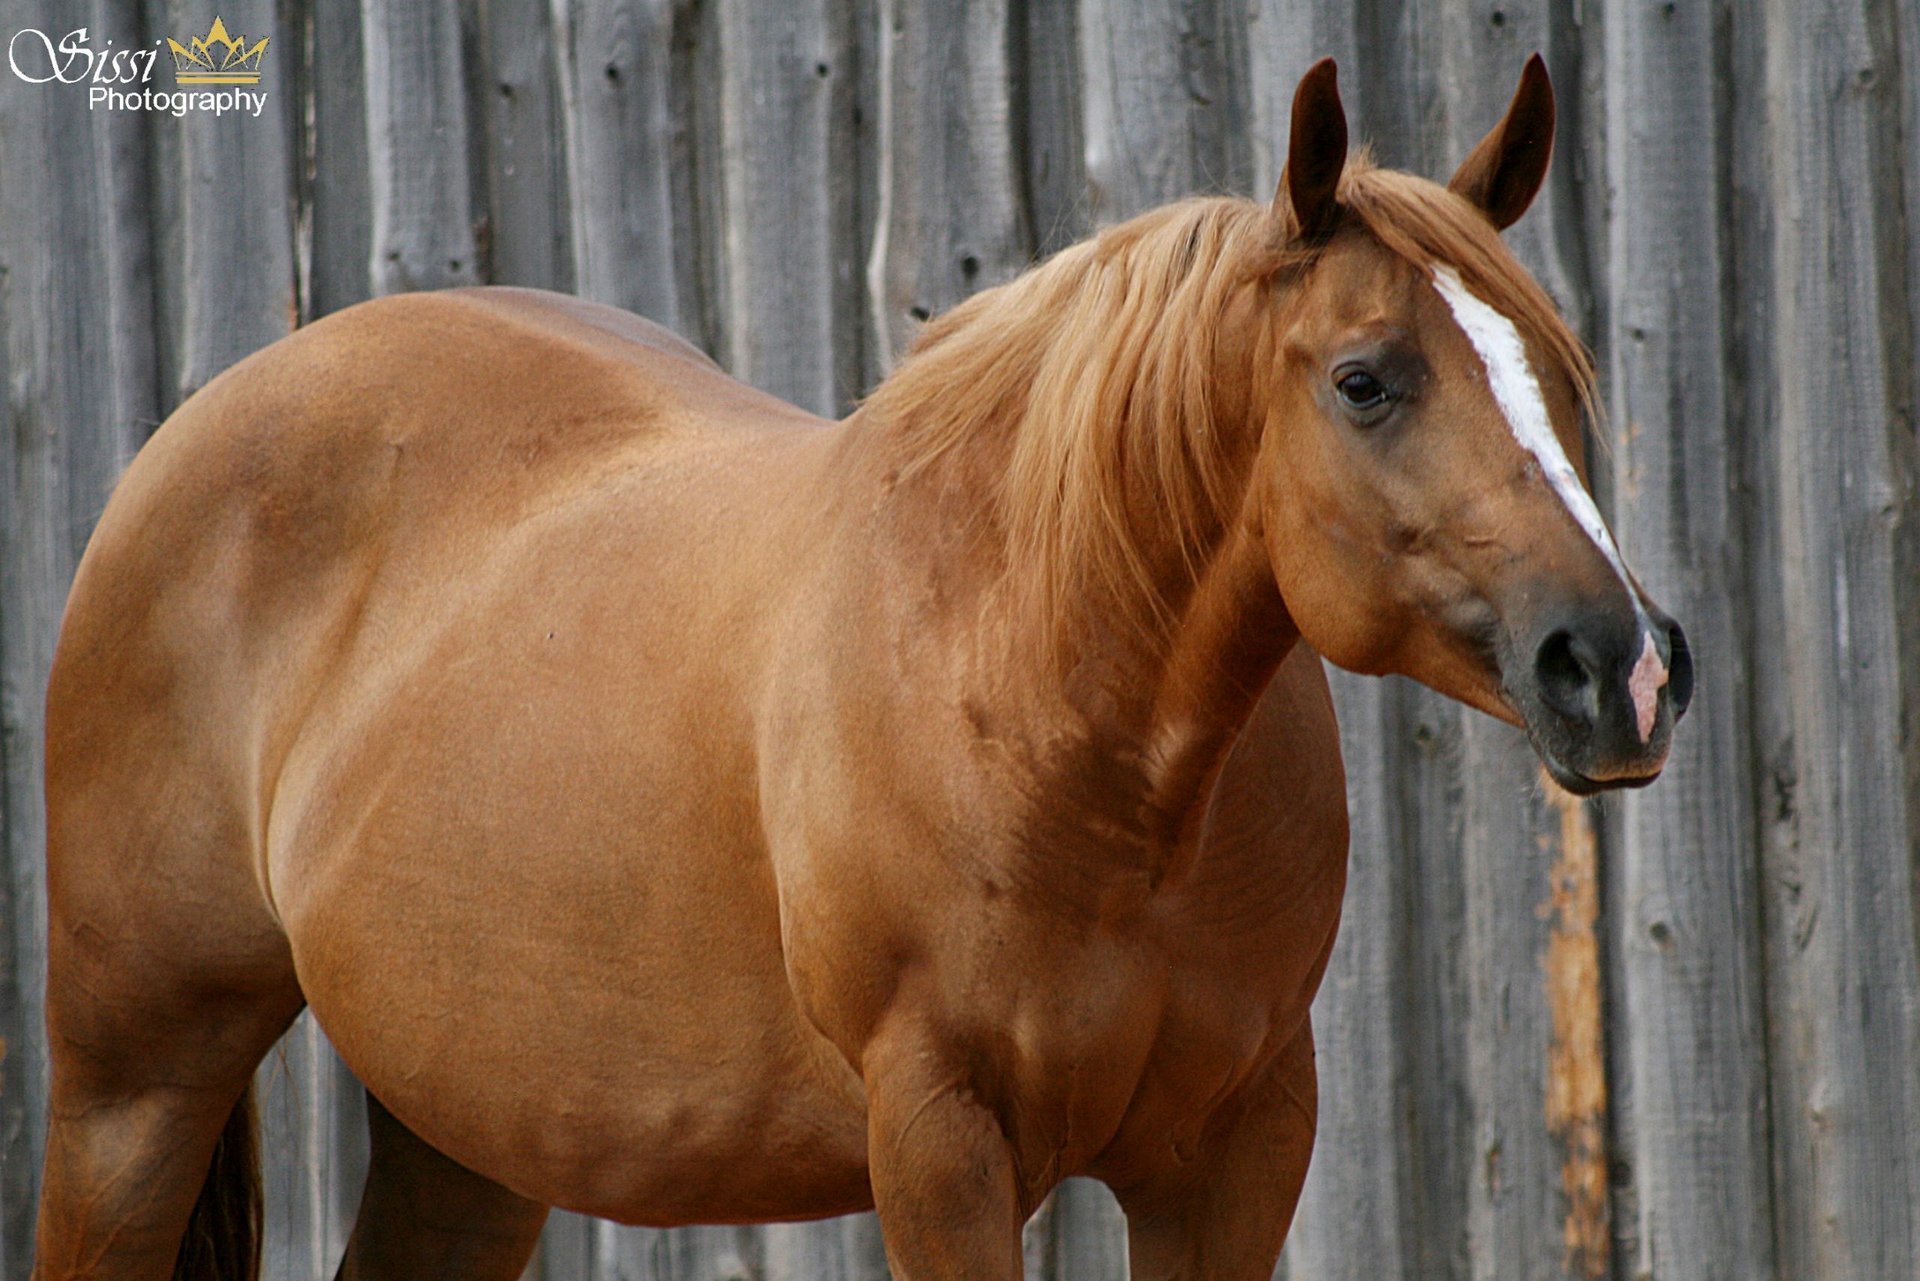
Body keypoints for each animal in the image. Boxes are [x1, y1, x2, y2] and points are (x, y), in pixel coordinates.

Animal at [33, 54, 1689, 1281]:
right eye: (1365, 380)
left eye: (1558, 372)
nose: (1620, 667)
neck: (1052, 715)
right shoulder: (940, 1144)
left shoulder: (1239, 1144)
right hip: (132, 1088)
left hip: (464, 1131)